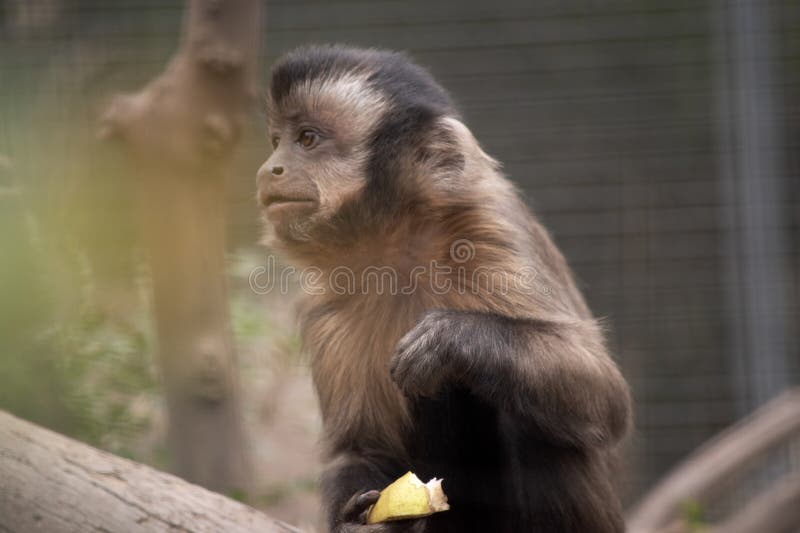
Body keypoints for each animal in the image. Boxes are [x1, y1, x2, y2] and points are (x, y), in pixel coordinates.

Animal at [256, 45, 632, 533]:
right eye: (276, 141)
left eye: (307, 139)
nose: (270, 168)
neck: (400, 251)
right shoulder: (327, 303)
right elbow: (358, 447)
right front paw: (356, 521)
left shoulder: (492, 231)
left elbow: (606, 396)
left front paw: (453, 339)